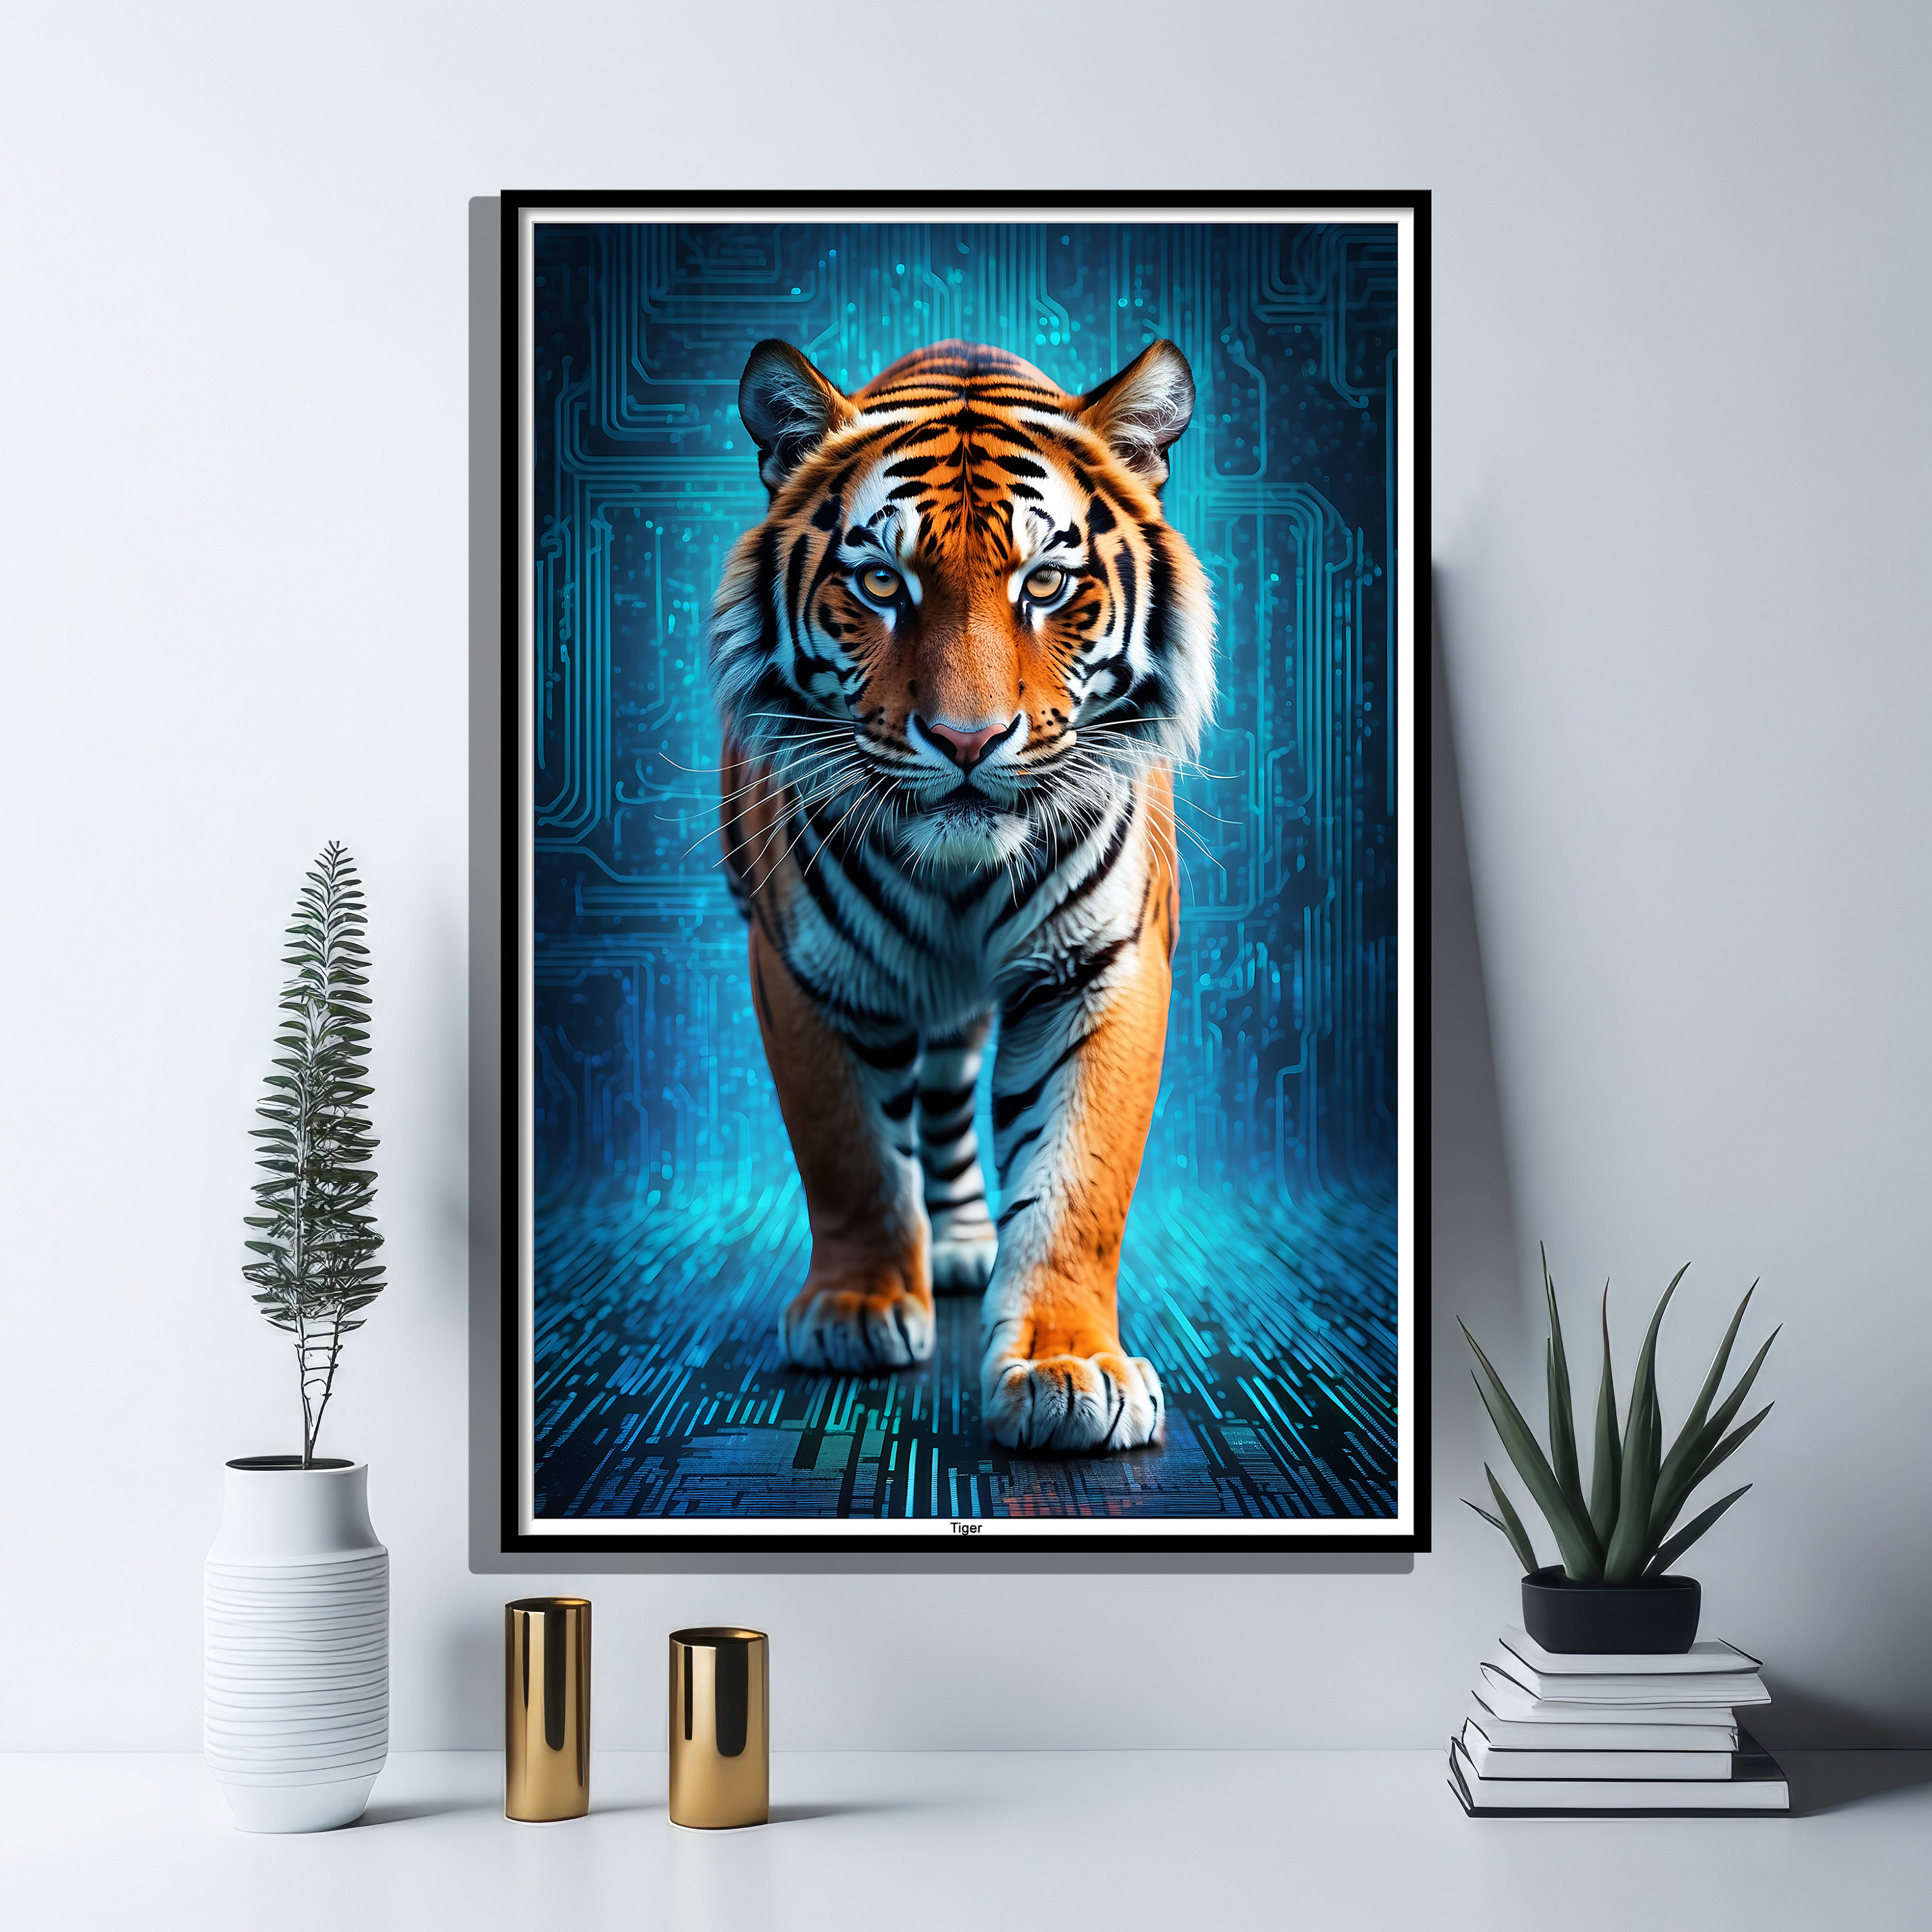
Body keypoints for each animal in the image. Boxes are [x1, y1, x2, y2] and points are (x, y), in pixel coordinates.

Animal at [706, 335, 1214, 1452]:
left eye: (1049, 582)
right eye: (879, 582)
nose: (968, 740)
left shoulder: (1101, 968)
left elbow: (1077, 1184)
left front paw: (1070, 1370)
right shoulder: (808, 972)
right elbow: (849, 1150)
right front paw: (855, 1310)